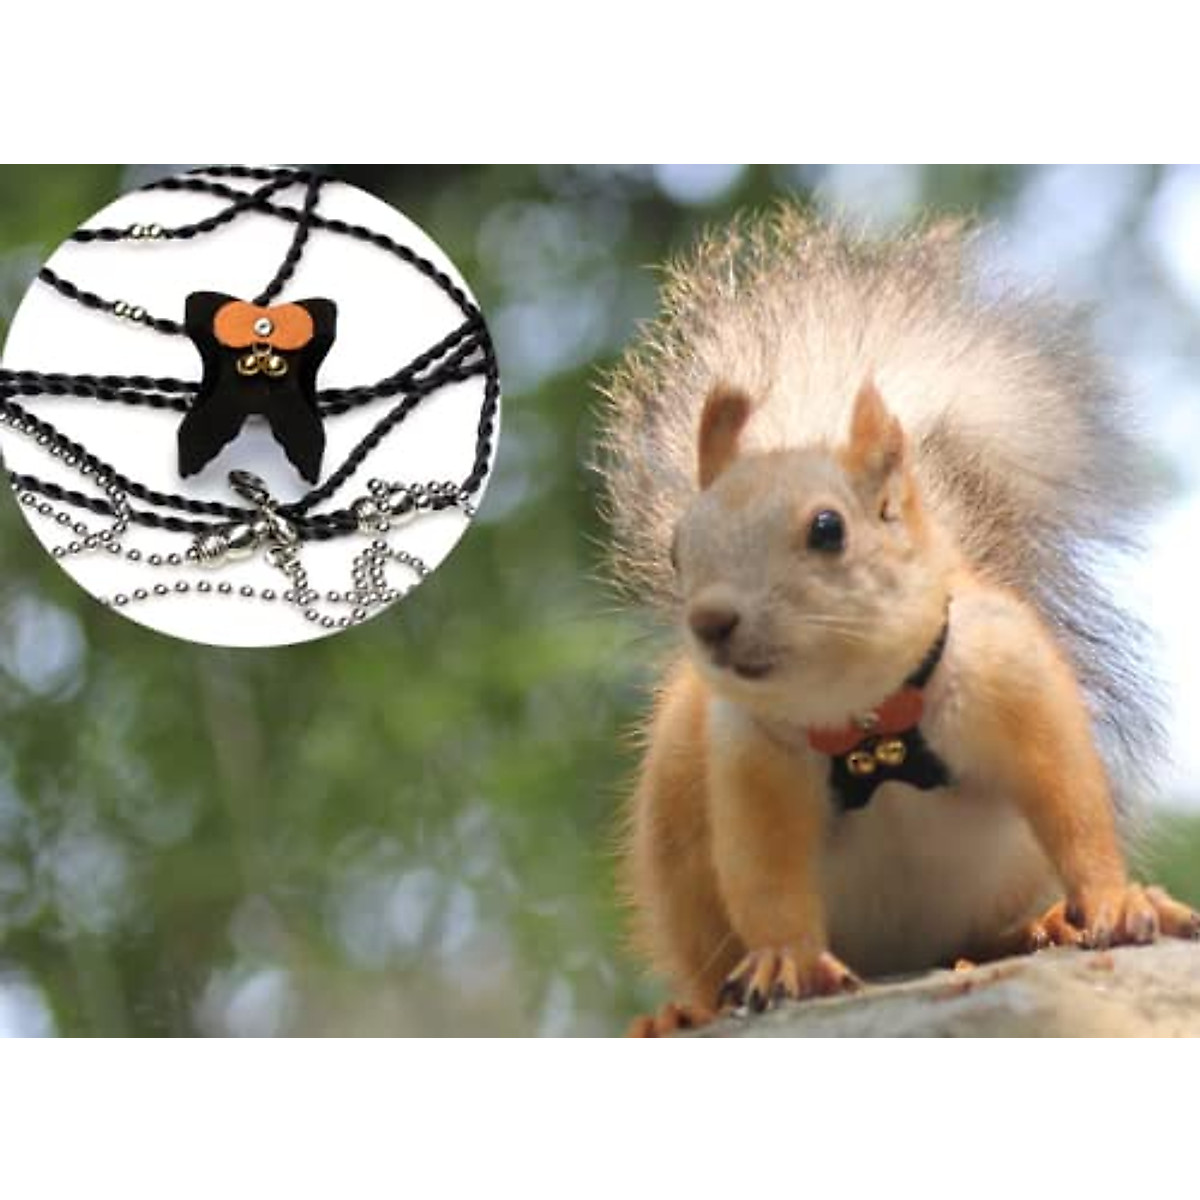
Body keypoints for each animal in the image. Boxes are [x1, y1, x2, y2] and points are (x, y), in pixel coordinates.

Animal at [597, 209, 1200, 1036]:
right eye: (676, 548)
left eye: (828, 530)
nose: (712, 623)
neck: (865, 719)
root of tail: (901, 958)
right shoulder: (749, 756)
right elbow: (765, 876)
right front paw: (786, 959)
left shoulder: (1010, 678)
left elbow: (1072, 803)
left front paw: (1115, 899)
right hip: (680, 851)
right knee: (707, 957)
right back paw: (683, 1010)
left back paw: (1039, 927)